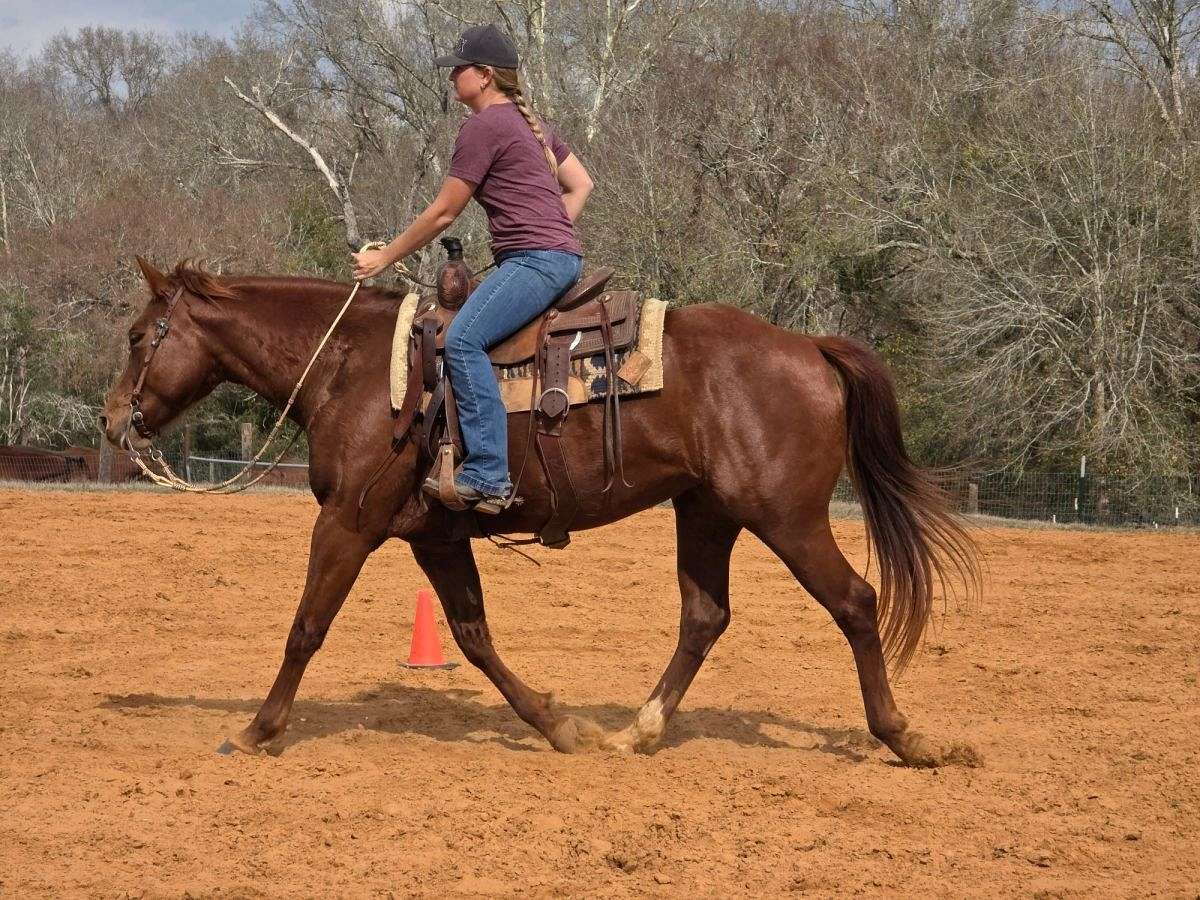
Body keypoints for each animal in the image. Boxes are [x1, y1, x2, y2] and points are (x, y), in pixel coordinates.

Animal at [100, 258, 979, 766]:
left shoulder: (348, 523)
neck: (353, 369)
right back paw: (637, 730)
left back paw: (907, 738)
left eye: (142, 335)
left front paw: (257, 730)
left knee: (855, 602)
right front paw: (559, 726)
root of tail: (806, 347)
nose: (112, 421)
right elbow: (472, 635)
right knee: (704, 616)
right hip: (706, 511)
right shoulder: (433, 535)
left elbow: (306, 626)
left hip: (786, 517)